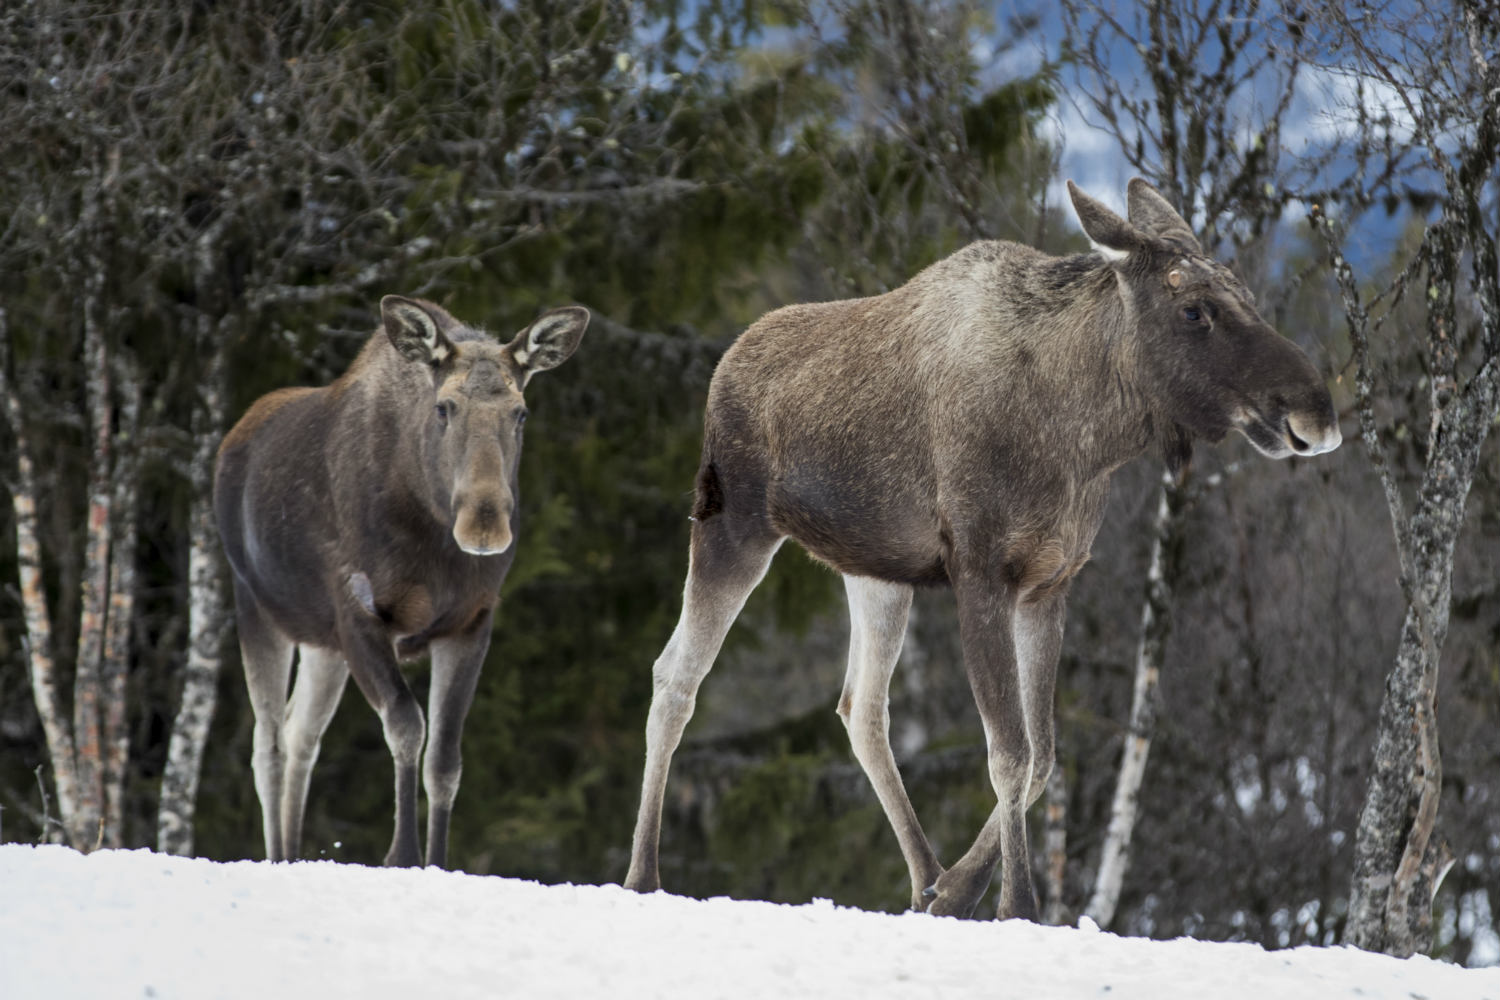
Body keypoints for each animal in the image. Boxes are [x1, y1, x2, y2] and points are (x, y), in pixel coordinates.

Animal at [215, 296, 589, 867]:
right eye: (444, 407)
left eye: (520, 411)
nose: (484, 524)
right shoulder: (361, 615)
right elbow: (408, 727)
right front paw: (403, 853)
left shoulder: (469, 625)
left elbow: (446, 759)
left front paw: (436, 859)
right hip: (256, 606)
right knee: (269, 744)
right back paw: (278, 856)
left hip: (322, 645)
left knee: (302, 735)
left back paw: (296, 852)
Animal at [623, 179, 1341, 919]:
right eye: (1195, 308)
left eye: (1245, 292)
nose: (1316, 413)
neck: (1086, 435)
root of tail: (725, 365)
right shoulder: (981, 571)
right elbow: (1010, 753)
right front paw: (1016, 903)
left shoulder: (1049, 584)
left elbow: (1043, 754)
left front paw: (958, 889)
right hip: (733, 526)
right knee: (675, 676)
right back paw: (643, 873)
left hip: (875, 573)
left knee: (862, 708)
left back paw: (924, 876)